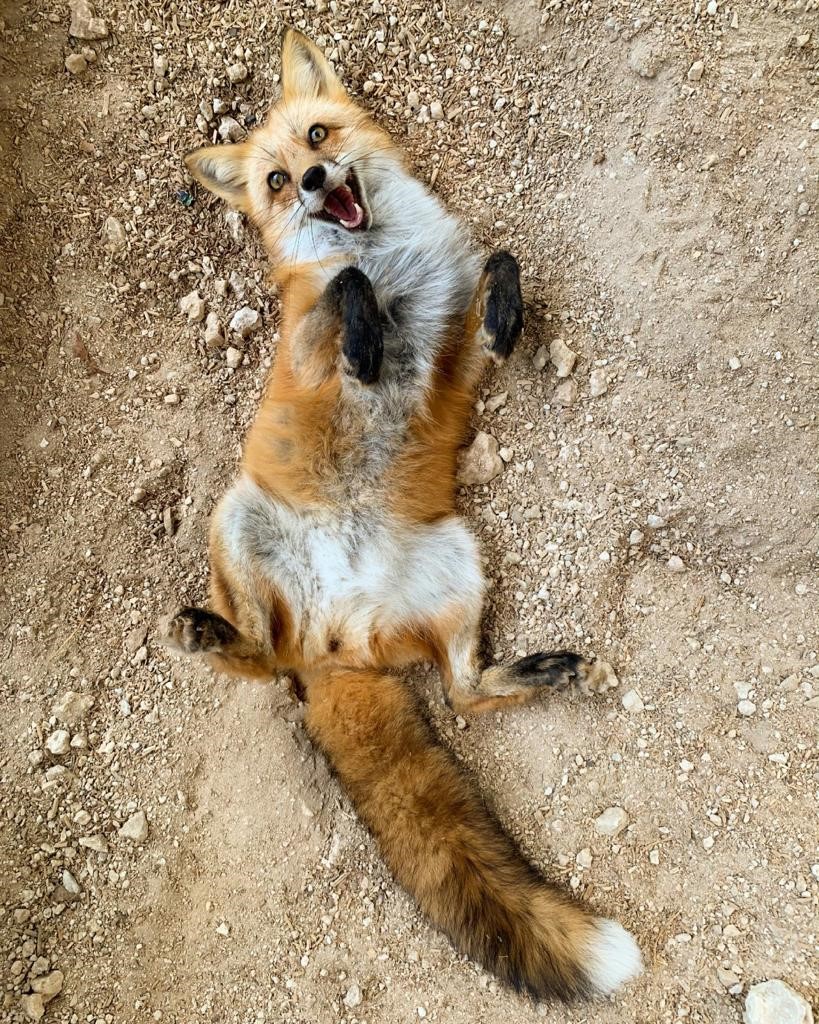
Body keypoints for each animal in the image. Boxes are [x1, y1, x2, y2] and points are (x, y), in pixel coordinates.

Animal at [165, 28, 643, 1001]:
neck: (399, 262)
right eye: (278, 182)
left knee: (462, 694)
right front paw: (364, 334)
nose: (316, 181)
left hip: (458, 562)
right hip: (237, 520)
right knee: (258, 661)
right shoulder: (307, 338)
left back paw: (534, 671)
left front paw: (503, 298)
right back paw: (207, 634)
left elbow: (498, 278)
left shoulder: (464, 355)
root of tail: (334, 643)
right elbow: (343, 287)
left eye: (318, 135)